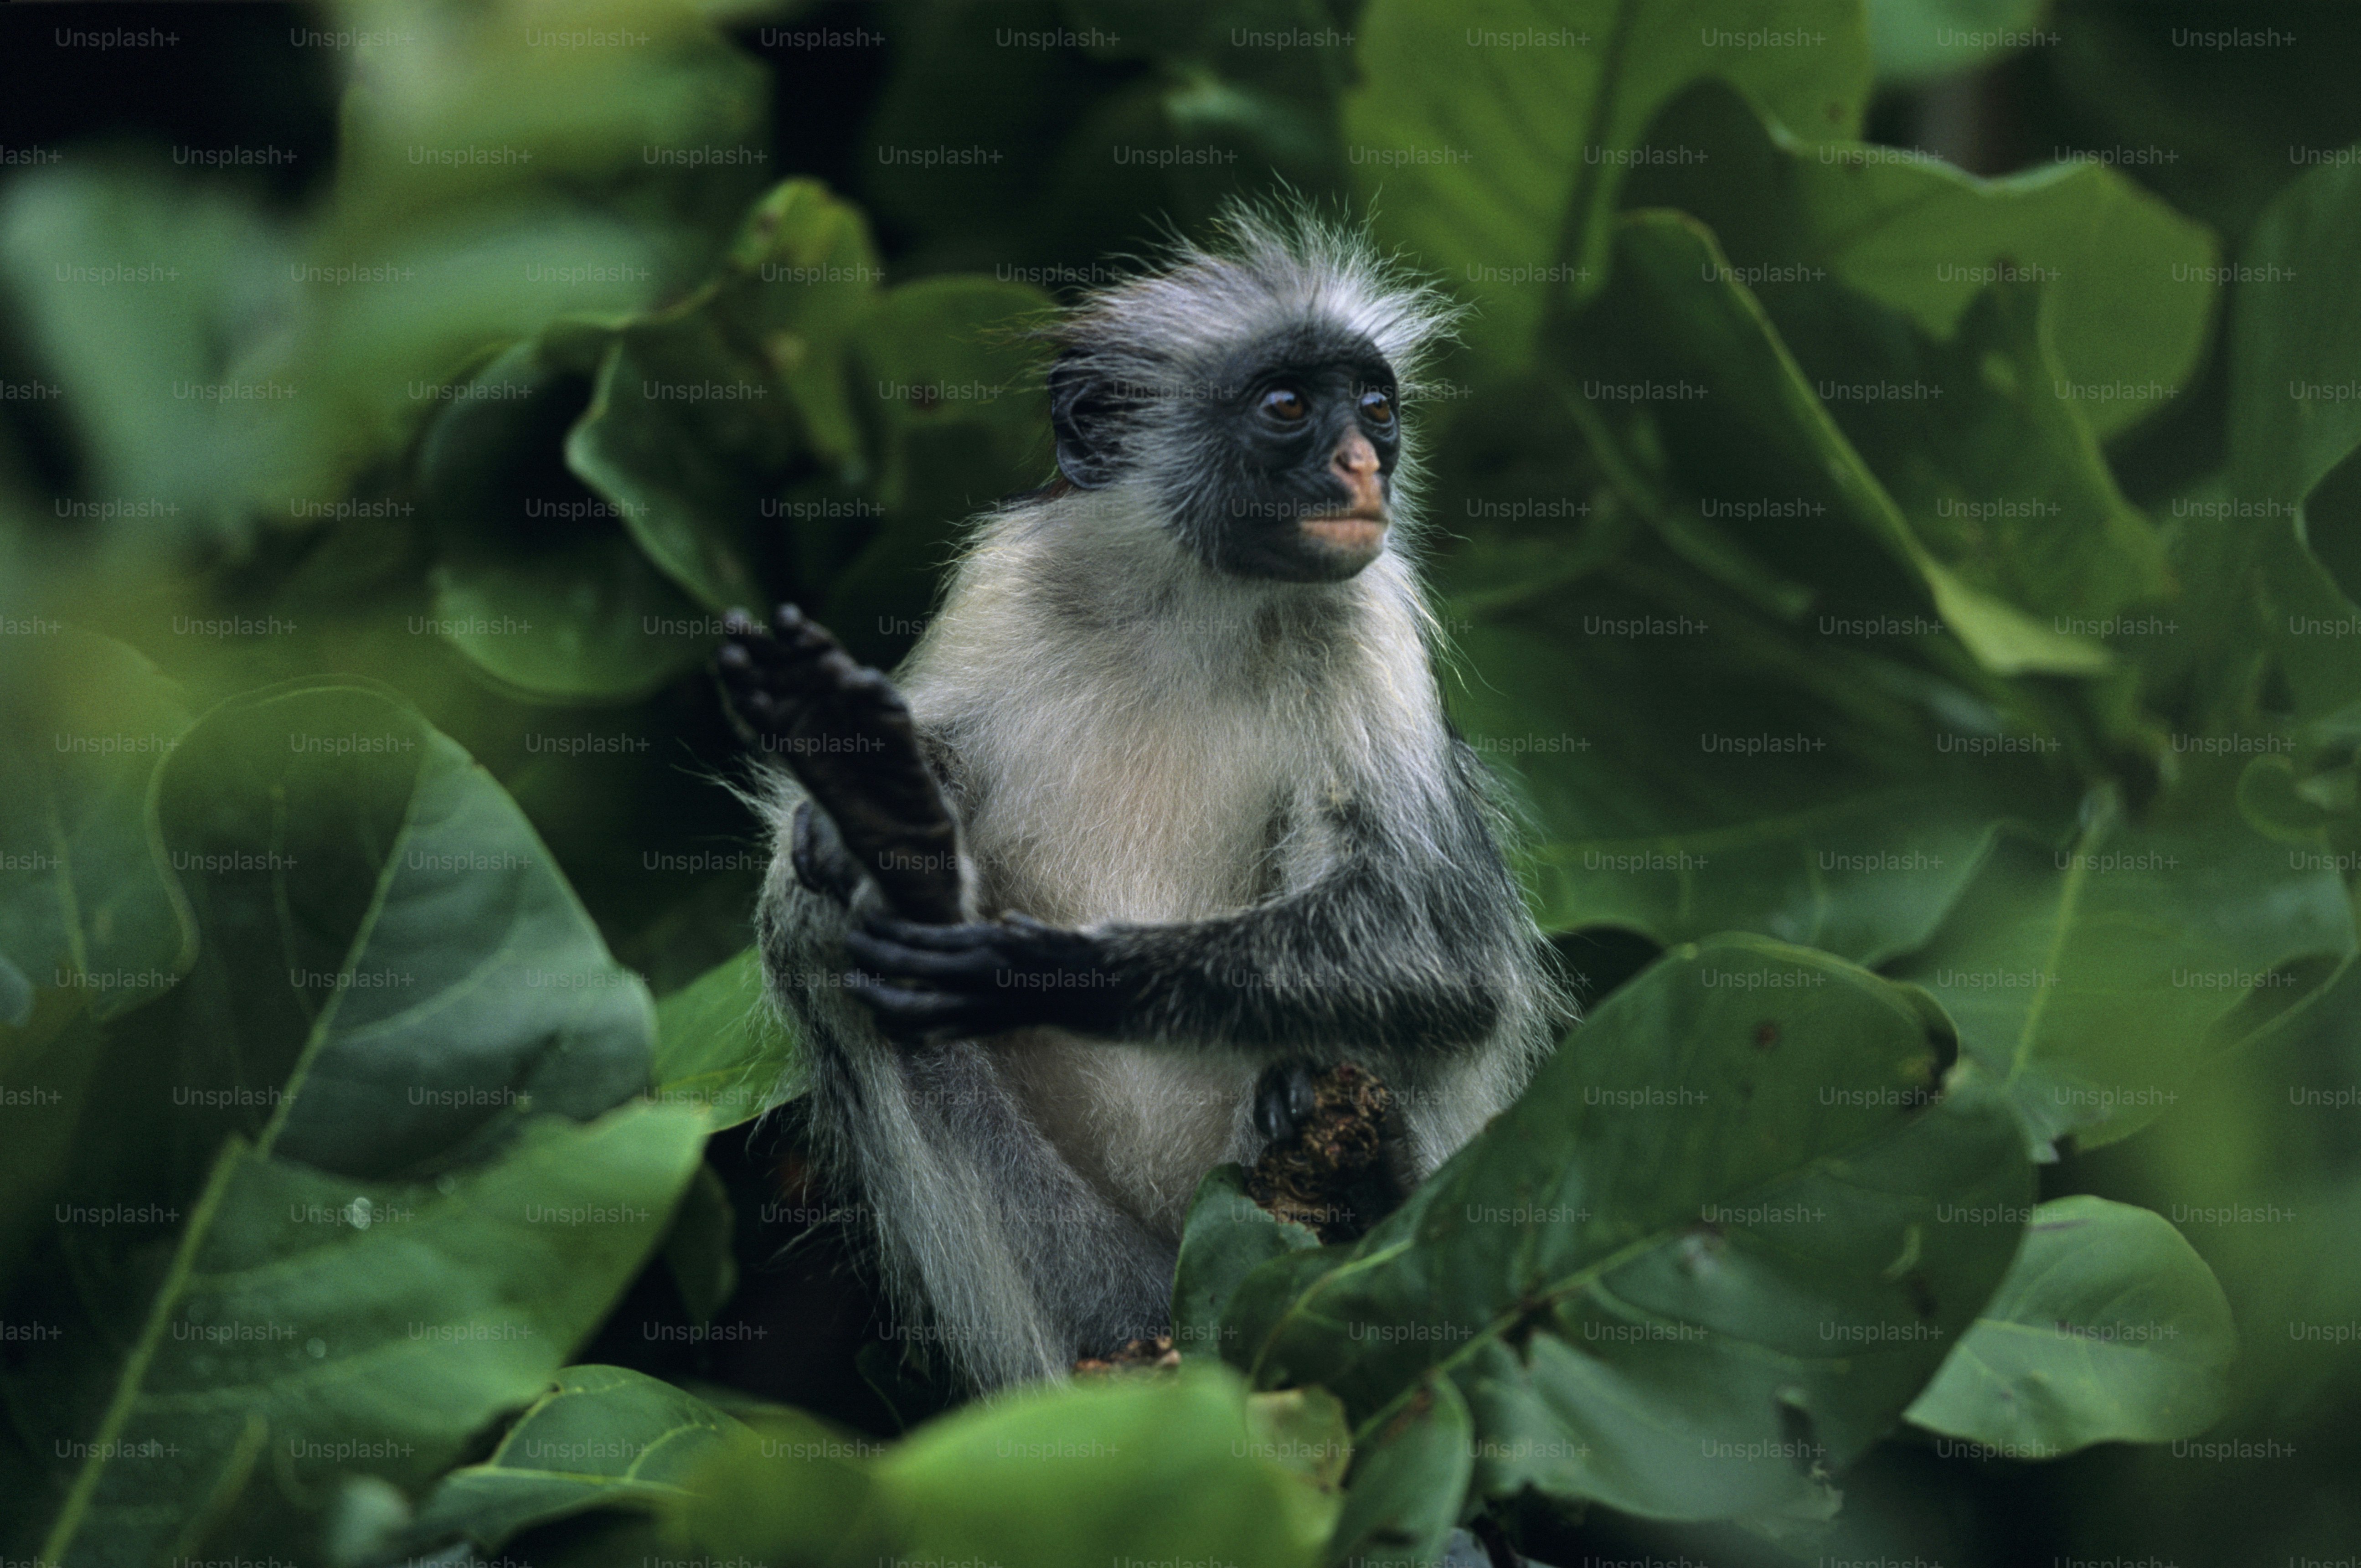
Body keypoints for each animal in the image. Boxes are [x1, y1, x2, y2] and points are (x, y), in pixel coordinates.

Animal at [719, 204, 1572, 1392]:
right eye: (1287, 407)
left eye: (1377, 408)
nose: (1363, 464)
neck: (1190, 602)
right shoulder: (1006, 575)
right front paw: (886, 815)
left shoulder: (1370, 611)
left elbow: (1448, 954)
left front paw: (1030, 965)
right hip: (1099, 1290)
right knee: (807, 922)